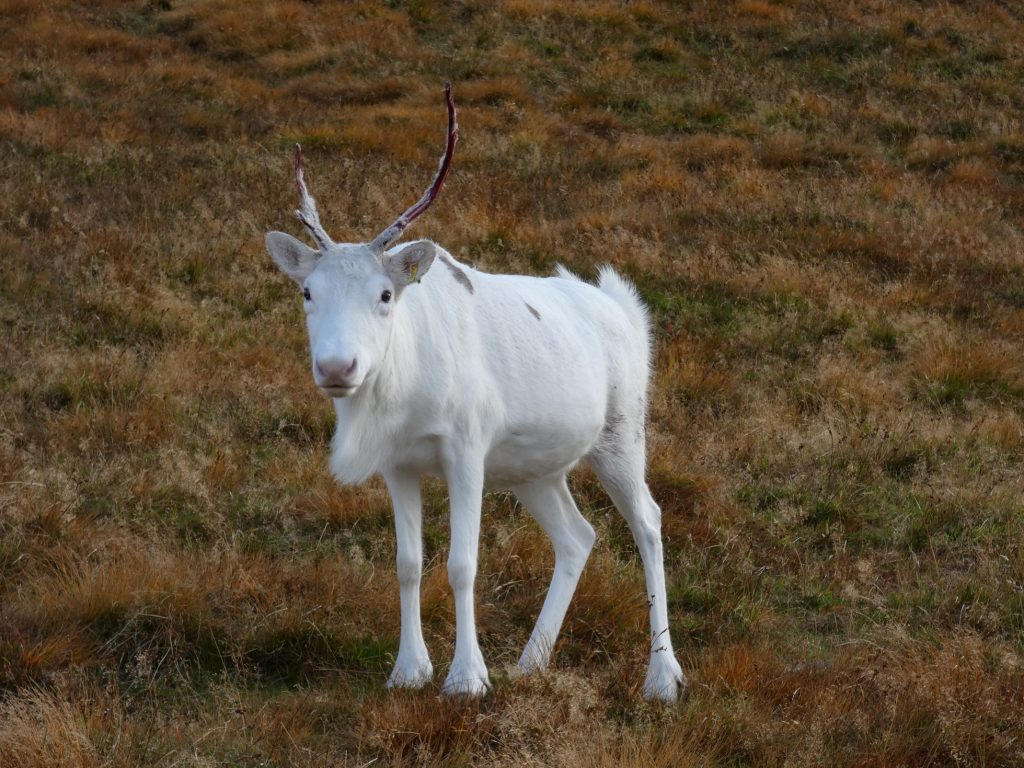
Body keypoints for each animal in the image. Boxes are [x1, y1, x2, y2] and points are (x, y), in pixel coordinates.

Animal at [264, 84, 686, 702]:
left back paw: (662, 676)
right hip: (535, 469)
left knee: (649, 523)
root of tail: (627, 310)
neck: (405, 390)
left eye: (385, 293)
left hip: (622, 435)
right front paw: (409, 671)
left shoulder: (466, 451)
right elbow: (408, 562)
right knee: (578, 535)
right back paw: (532, 661)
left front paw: (466, 678)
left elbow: (462, 563)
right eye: (307, 292)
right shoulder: (399, 463)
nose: (338, 365)